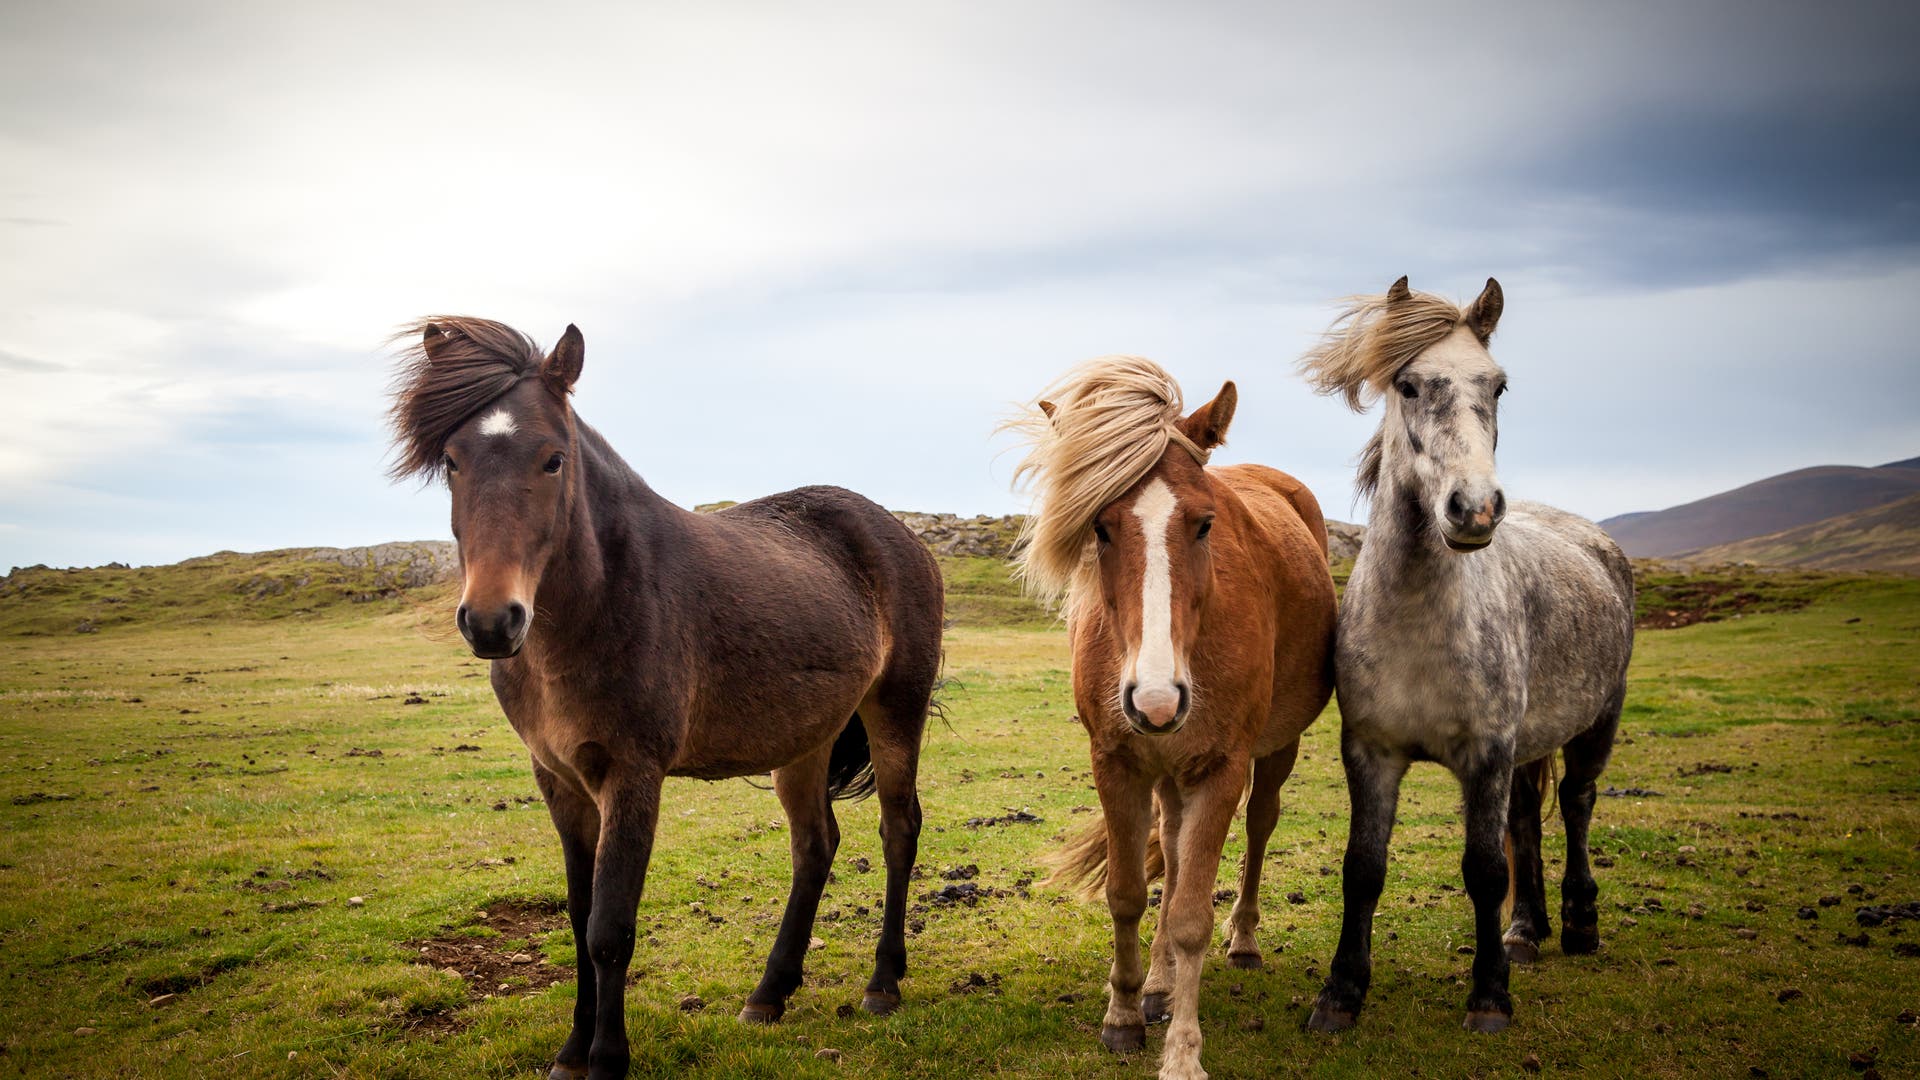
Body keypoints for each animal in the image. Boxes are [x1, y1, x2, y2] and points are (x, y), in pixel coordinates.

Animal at [387, 317, 944, 1080]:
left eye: (553, 459)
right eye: (451, 460)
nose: (493, 621)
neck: (598, 609)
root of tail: (897, 533)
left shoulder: (632, 774)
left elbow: (610, 928)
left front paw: (607, 1058)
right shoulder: (558, 779)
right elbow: (577, 913)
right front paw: (571, 1053)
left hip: (894, 712)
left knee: (897, 830)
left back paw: (883, 983)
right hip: (807, 739)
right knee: (815, 843)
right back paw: (768, 993)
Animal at [1009, 356, 1336, 1080]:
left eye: (1206, 523)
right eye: (1099, 526)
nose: (1156, 700)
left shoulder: (1221, 767)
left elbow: (1190, 916)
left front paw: (1183, 1053)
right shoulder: (1117, 762)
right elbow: (1130, 894)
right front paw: (1125, 1013)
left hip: (1271, 754)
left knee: (1256, 830)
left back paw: (1242, 942)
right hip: (1164, 773)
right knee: (1174, 846)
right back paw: (1156, 986)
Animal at [1297, 277, 1635, 1034]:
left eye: (1499, 385)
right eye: (1408, 383)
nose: (1475, 509)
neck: (1420, 620)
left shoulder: (1486, 752)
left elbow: (1484, 869)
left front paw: (1489, 996)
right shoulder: (1370, 752)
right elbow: (1363, 868)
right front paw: (1340, 994)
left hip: (1596, 723)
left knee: (1577, 803)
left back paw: (1579, 924)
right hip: (1528, 746)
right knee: (1527, 820)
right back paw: (1527, 932)